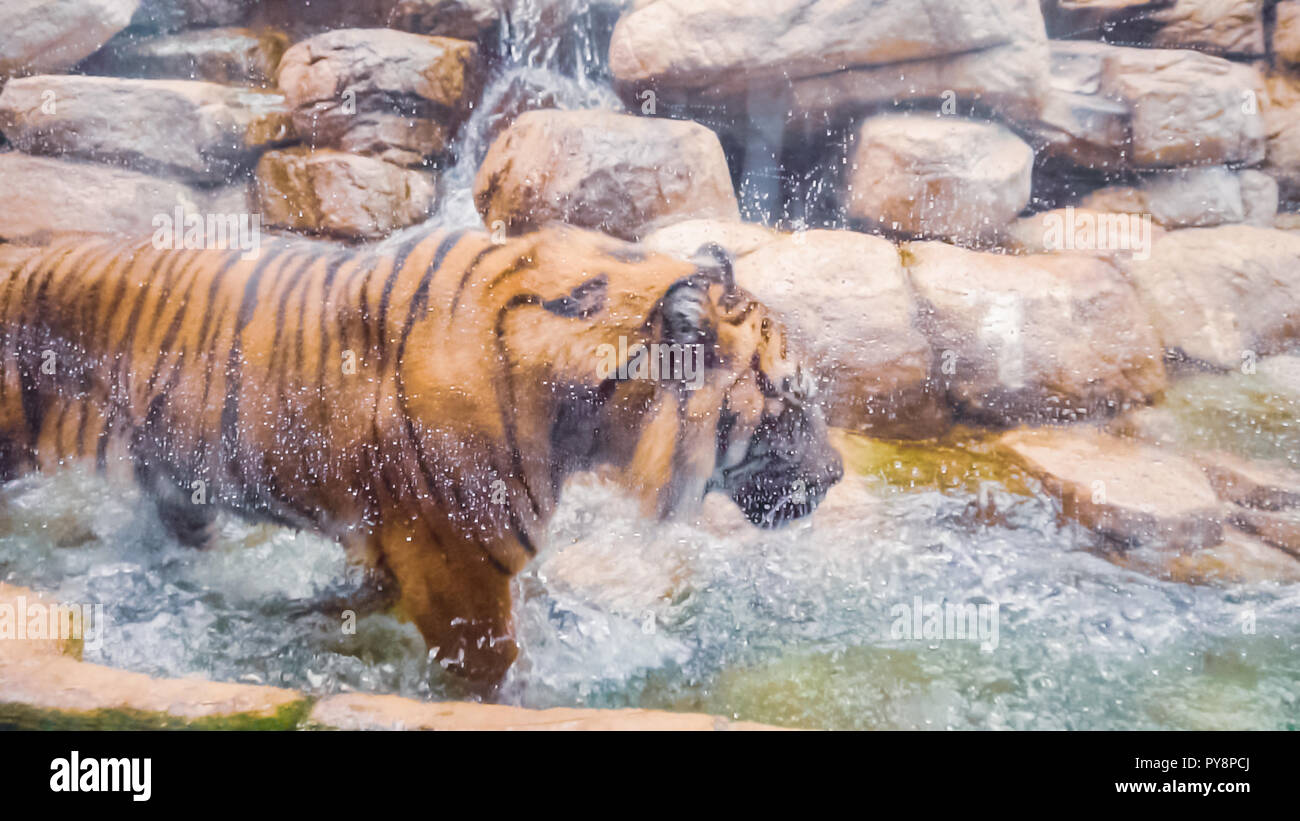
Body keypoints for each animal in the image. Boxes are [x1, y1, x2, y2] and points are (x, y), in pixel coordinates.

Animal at [0, 224, 843, 685]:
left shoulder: (400, 550)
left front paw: (299, 615)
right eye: (794, 402)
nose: (836, 477)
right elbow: (499, 675)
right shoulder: (459, 569)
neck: (589, 419)